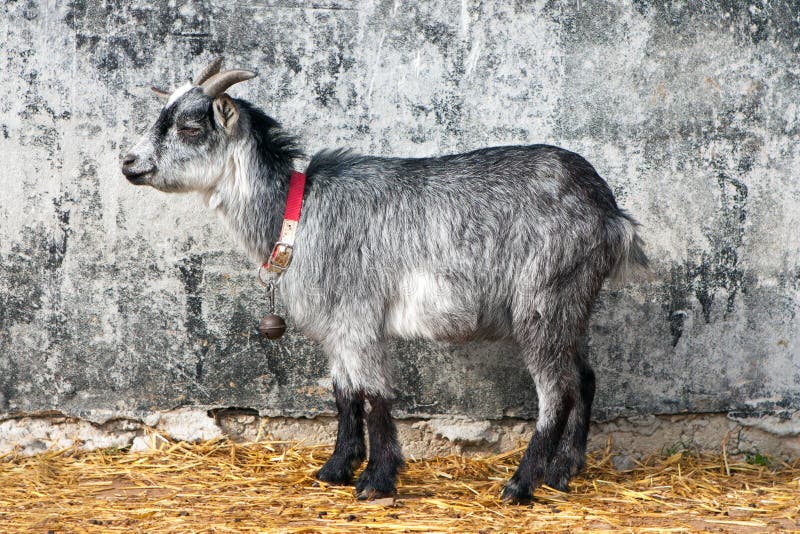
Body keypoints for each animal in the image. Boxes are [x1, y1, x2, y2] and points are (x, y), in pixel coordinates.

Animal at [122, 58, 648, 503]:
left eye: (190, 126)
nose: (129, 163)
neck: (298, 212)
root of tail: (610, 214)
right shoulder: (336, 325)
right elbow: (344, 393)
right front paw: (335, 469)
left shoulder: (359, 315)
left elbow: (374, 395)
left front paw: (376, 480)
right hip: (571, 304)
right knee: (584, 377)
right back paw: (563, 471)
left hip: (542, 299)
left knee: (557, 391)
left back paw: (521, 485)